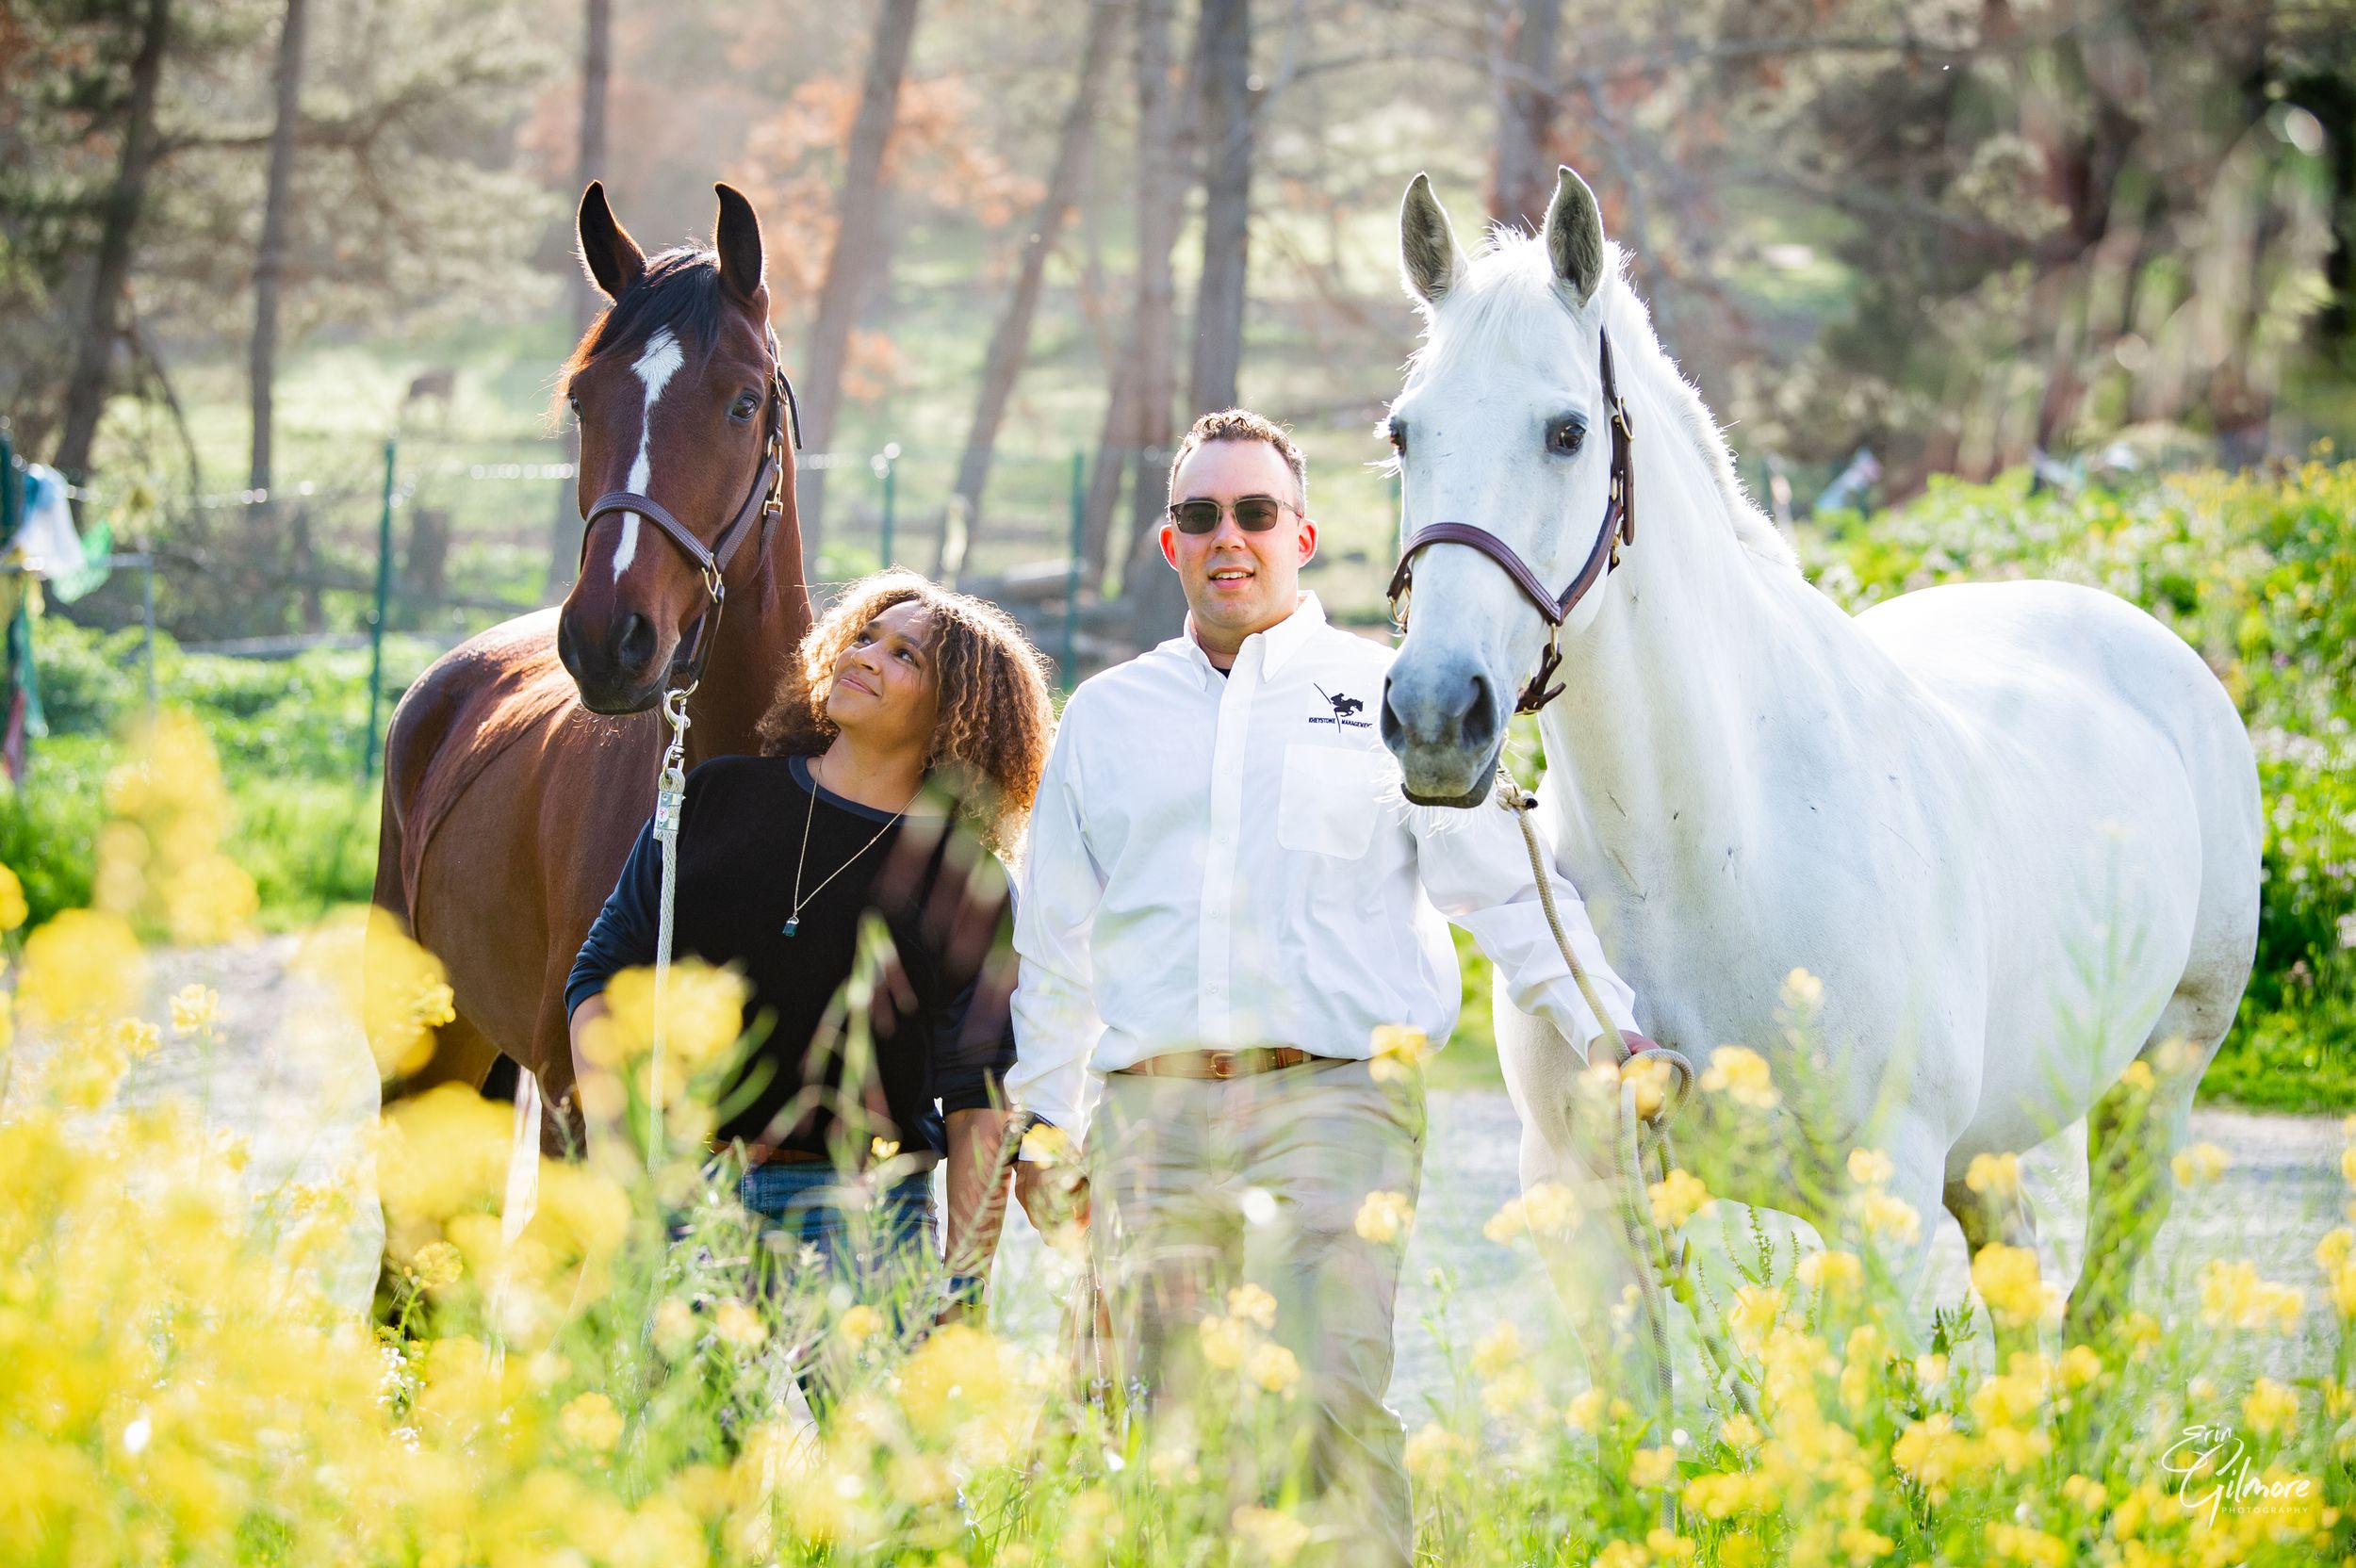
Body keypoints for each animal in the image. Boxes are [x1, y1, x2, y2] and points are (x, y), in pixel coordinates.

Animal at [1377, 166, 2261, 1400]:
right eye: (1404, 431)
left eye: (1564, 432)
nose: (1433, 716)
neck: (1699, 851)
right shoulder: (1584, 1206)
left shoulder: (1874, 1206)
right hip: (1981, 1151)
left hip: (2159, 1082)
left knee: (2098, 1305)